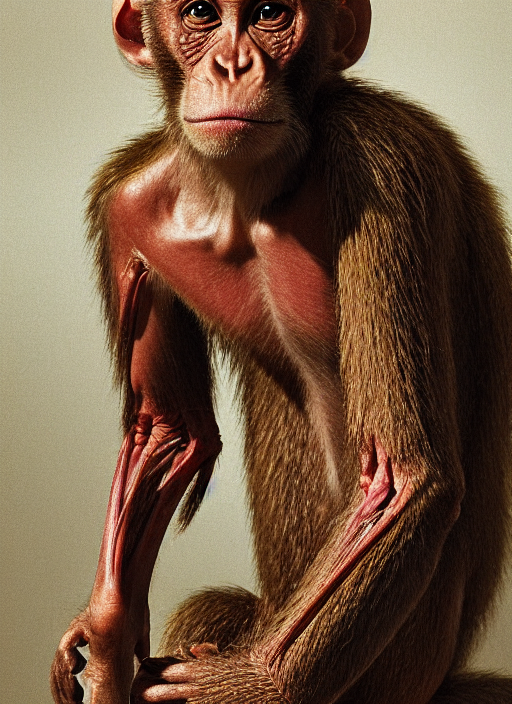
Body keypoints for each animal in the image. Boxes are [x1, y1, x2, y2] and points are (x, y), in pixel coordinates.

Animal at [50, 0, 512, 702]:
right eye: (201, 13)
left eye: (270, 14)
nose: (233, 64)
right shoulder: (127, 205)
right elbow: (169, 428)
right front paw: (105, 630)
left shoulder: (381, 155)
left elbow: (404, 476)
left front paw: (250, 684)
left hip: (404, 673)